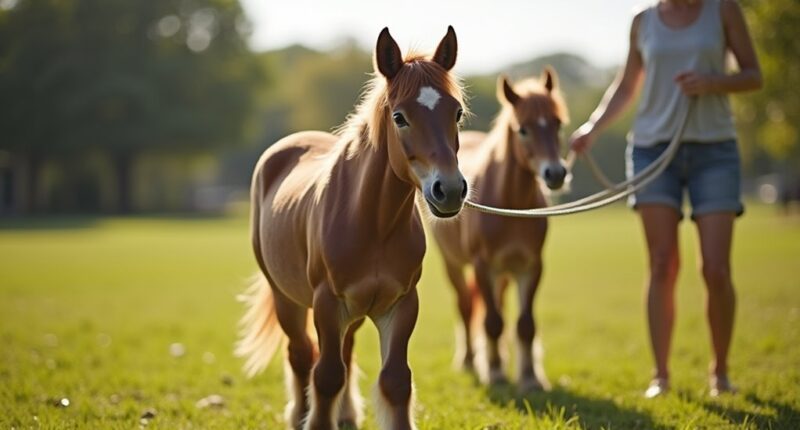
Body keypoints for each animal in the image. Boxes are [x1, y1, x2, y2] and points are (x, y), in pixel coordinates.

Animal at [236, 27, 468, 430]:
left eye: (456, 112)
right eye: (400, 117)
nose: (450, 190)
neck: (373, 222)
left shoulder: (401, 304)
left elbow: (395, 380)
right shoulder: (328, 304)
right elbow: (327, 375)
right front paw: (315, 419)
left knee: (344, 352)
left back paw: (345, 415)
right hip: (287, 299)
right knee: (302, 354)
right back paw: (299, 414)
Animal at [428, 69, 569, 393]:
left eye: (557, 123)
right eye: (523, 129)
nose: (555, 174)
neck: (512, 205)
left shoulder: (530, 266)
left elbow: (525, 324)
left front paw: (530, 378)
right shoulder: (483, 266)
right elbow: (492, 321)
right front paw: (495, 374)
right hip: (454, 264)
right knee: (466, 308)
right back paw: (469, 360)